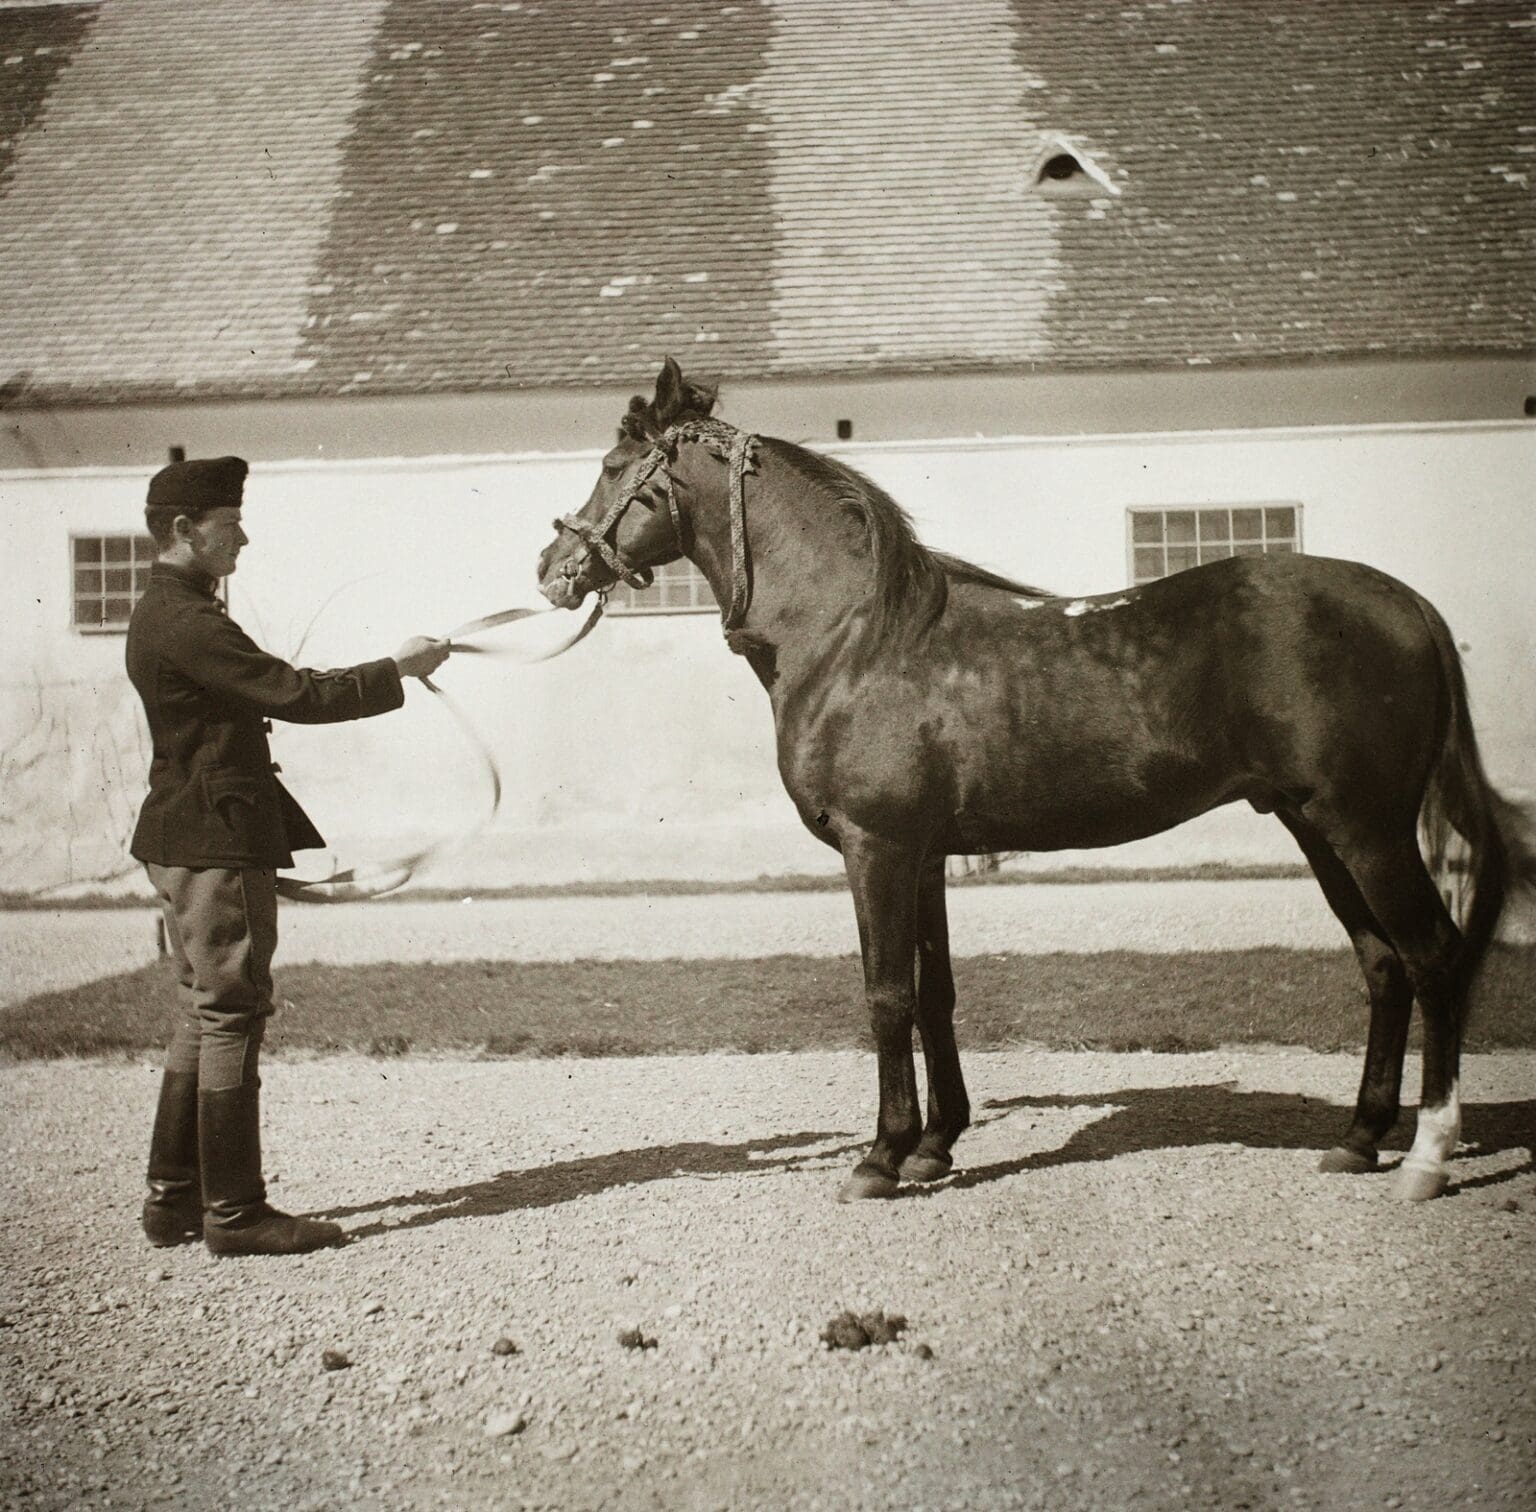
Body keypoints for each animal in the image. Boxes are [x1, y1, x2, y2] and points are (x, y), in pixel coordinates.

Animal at [536, 357, 1535, 1204]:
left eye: (614, 465)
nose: (552, 569)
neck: (854, 638)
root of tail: (1409, 605)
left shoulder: (876, 848)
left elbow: (886, 994)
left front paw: (880, 1158)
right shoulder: (925, 856)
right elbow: (935, 992)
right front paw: (937, 1145)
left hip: (1365, 828)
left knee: (1433, 956)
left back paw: (1427, 1157)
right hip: (1315, 825)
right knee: (1383, 965)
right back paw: (1359, 1140)